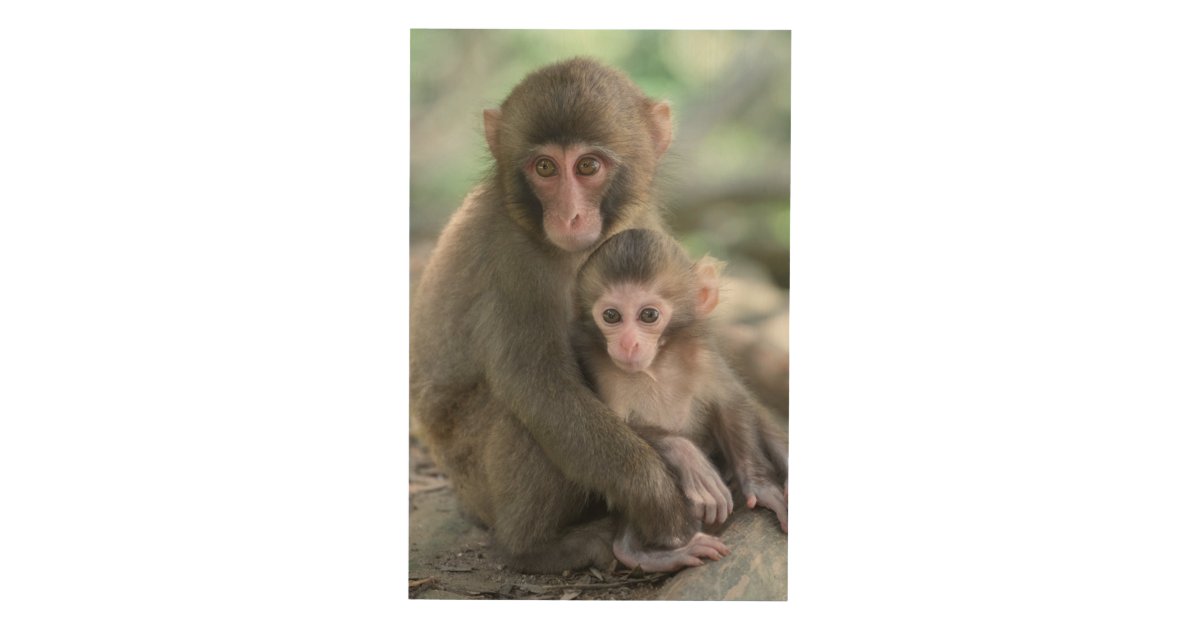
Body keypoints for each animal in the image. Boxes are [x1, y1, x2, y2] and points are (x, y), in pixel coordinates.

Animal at [410, 58, 708, 574]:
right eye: (545, 168)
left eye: (587, 166)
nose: (569, 216)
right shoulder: (512, 258)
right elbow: (541, 387)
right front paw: (660, 505)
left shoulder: (641, 226)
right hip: (473, 478)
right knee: (524, 416)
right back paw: (534, 547)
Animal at [573, 229, 789, 572]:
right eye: (611, 316)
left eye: (648, 315)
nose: (628, 344)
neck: (656, 366)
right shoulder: (598, 366)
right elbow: (607, 427)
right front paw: (688, 458)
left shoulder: (703, 355)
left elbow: (731, 404)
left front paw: (762, 487)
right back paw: (644, 552)